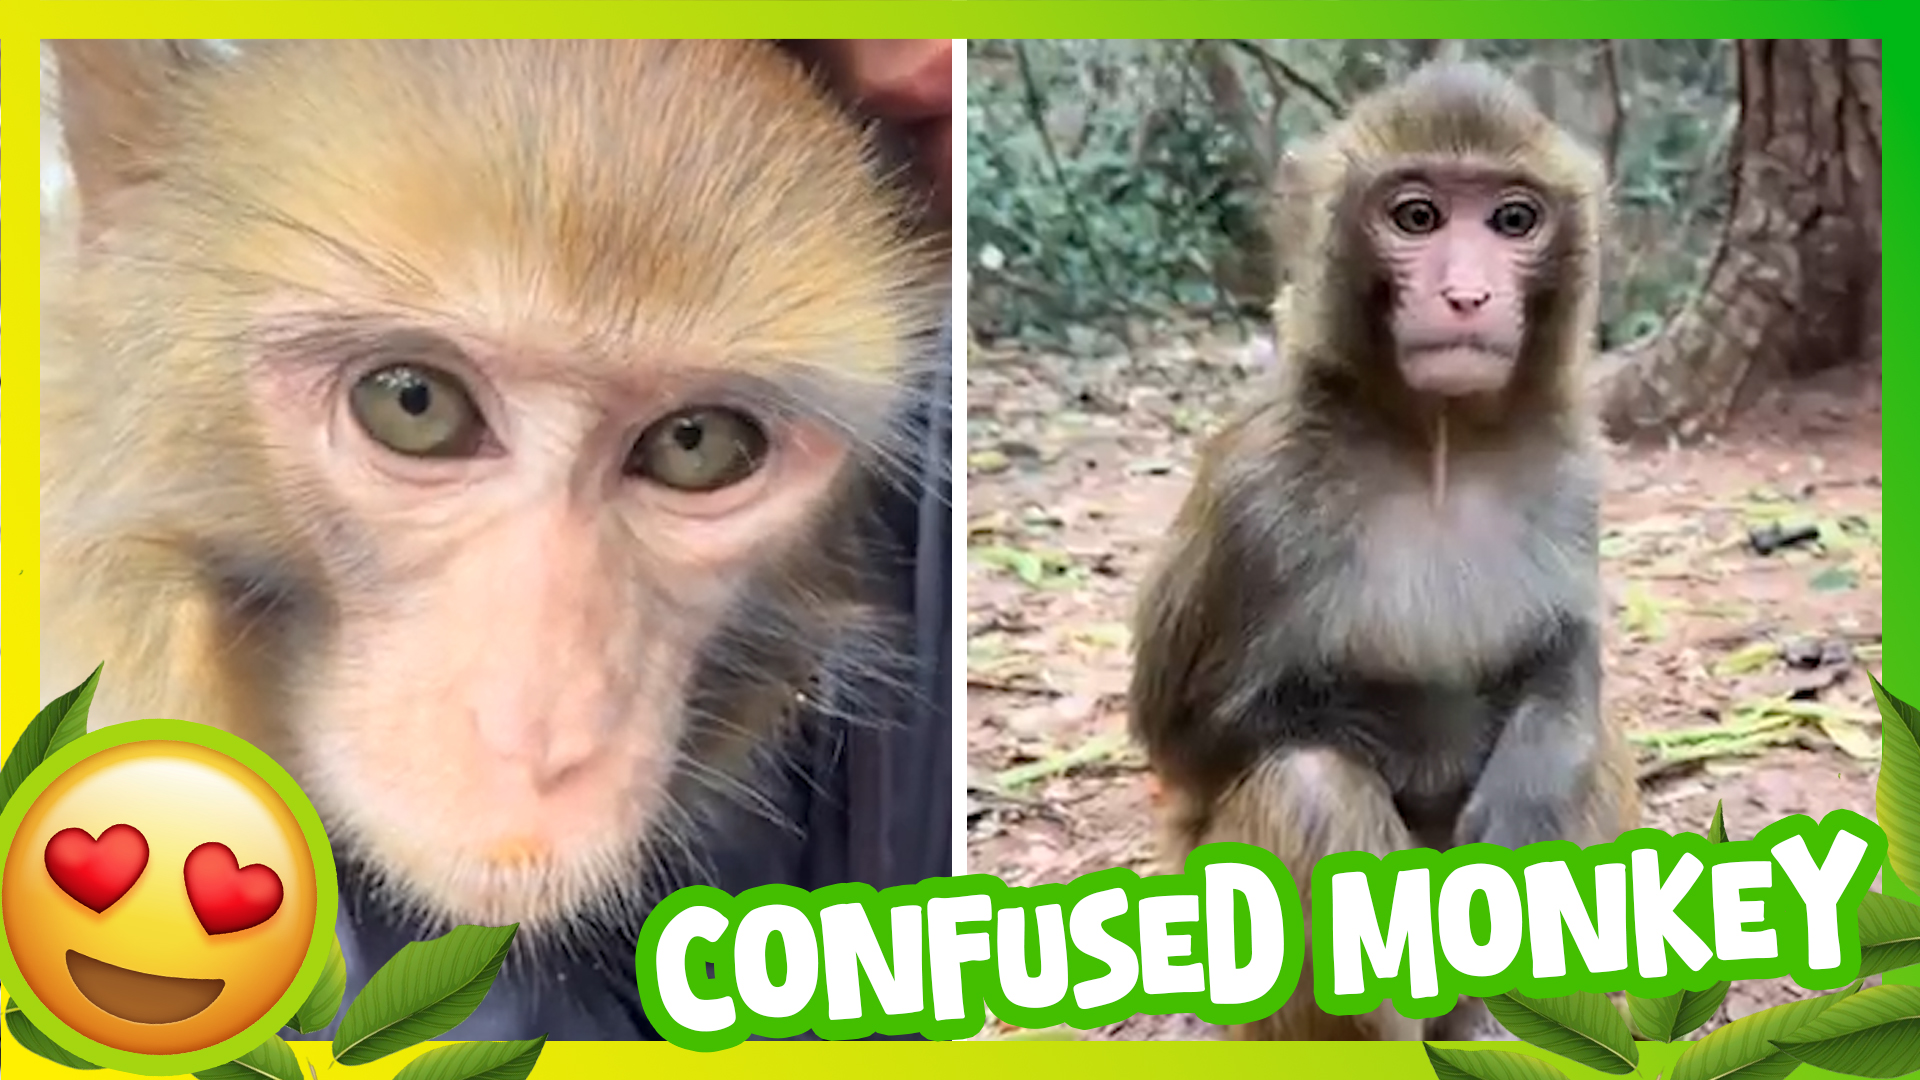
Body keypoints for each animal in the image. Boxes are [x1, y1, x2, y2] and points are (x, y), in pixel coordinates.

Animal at [1127, 62, 1639, 1041]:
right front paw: (1421, 732)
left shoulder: (1574, 465)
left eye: (1513, 220)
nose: (1468, 295)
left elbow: (1567, 662)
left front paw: (1532, 775)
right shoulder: (1256, 496)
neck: (1437, 444)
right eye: (1417, 217)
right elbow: (1182, 737)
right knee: (1309, 785)